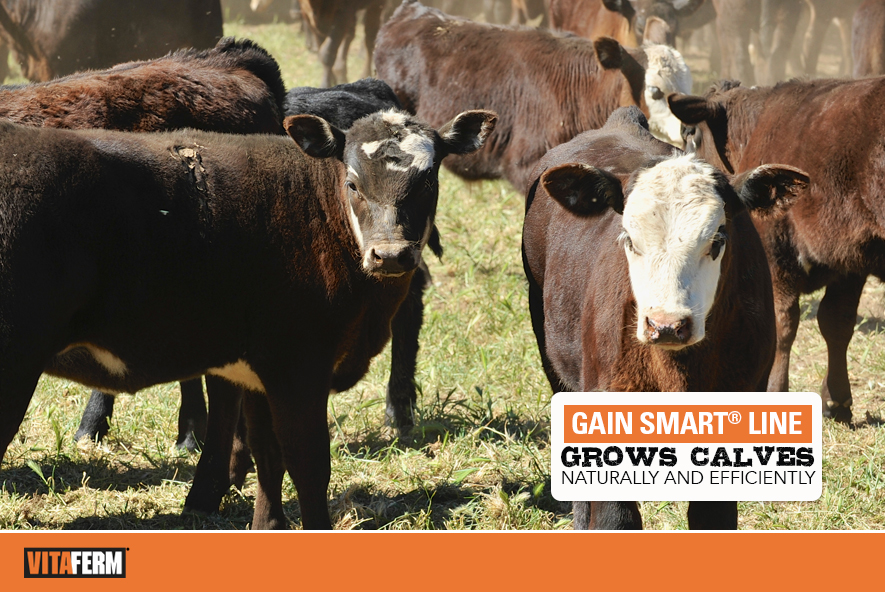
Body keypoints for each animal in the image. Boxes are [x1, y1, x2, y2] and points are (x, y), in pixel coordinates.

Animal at [0, 106, 497, 530]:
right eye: (354, 183)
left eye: (428, 181)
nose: (391, 254)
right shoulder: (298, 367)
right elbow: (308, 463)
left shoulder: (258, 371)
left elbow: (267, 453)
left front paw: (267, 524)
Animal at [667, 78, 885, 424]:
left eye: (690, 133)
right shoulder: (848, 258)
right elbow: (836, 323)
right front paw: (836, 401)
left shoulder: (774, 253)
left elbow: (782, 324)